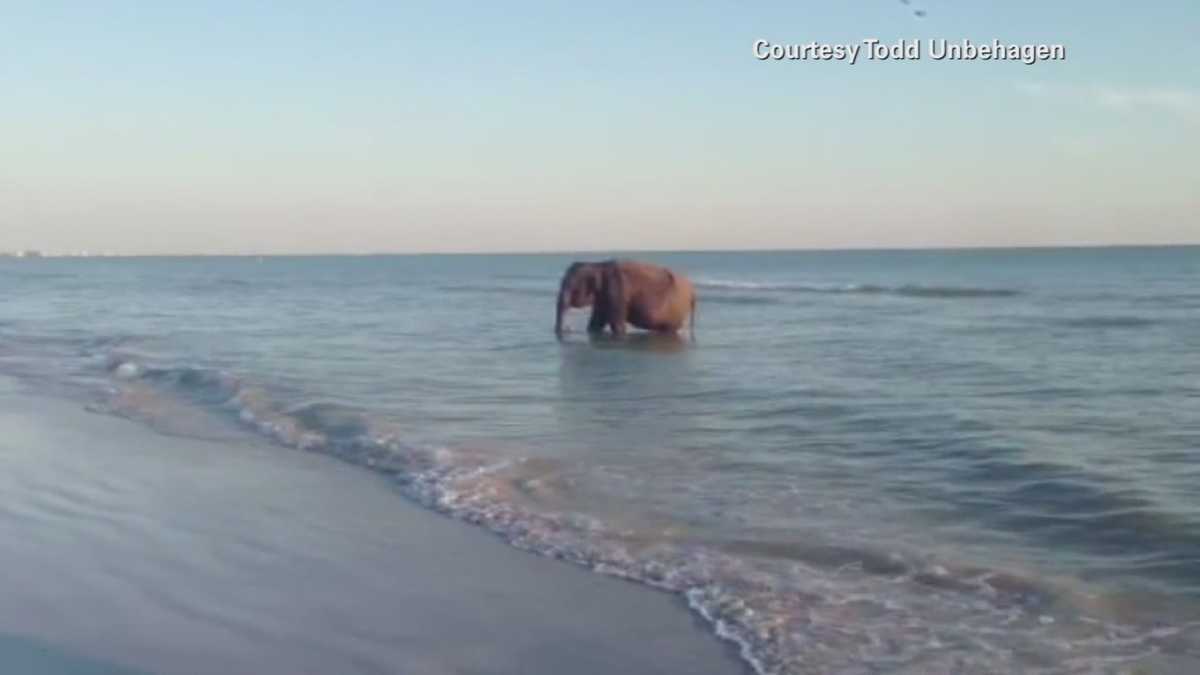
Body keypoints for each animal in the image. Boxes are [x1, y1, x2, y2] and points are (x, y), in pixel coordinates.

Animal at [554, 259, 696, 339]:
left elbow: (616, 325)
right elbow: (595, 324)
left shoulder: (616, 291)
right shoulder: (603, 297)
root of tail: (693, 291)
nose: (567, 329)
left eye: (571, 288)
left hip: (676, 309)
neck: (598, 266)